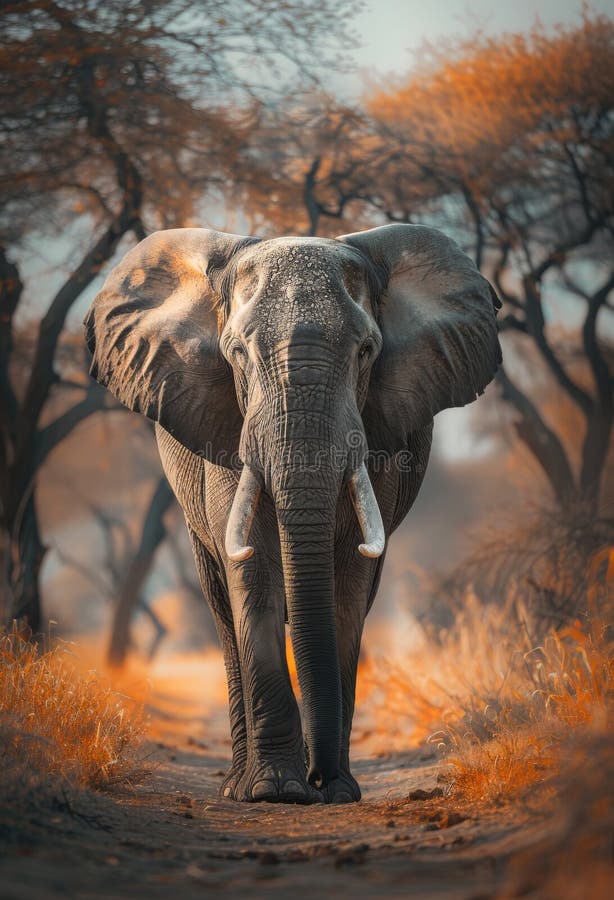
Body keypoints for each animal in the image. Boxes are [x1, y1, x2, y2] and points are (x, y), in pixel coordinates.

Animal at [84, 223, 501, 804]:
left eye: (366, 352)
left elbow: (347, 582)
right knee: (222, 610)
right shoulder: (227, 431)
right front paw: (276, 791)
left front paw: (337, 791)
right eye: (237, 352)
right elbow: (254, 572)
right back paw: (237, 786)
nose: (318, 779)